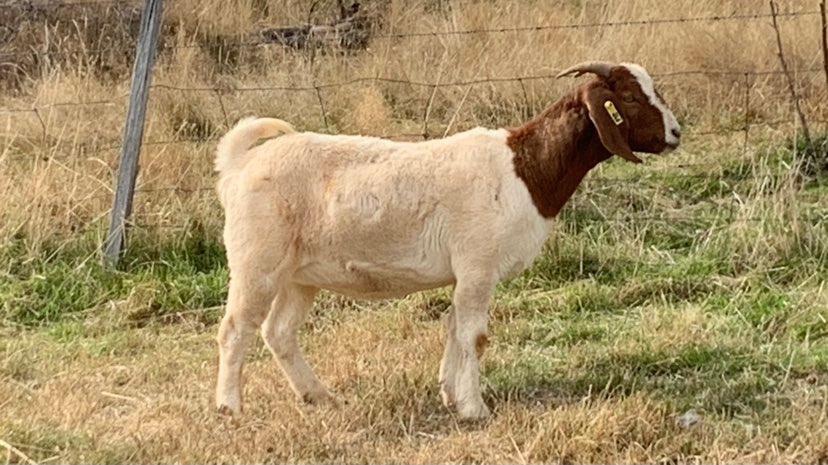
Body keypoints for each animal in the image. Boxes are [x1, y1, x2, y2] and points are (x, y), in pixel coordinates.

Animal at [214, 61, 681, 419]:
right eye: (631, 97)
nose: (676, 133)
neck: (523, 168)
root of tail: (240, 164)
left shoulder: (466, 273)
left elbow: (455, 329)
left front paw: (450, 395)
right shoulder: (477, 265)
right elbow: (475, 336)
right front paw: (476, 410)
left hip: (299, 275)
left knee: (279, 332)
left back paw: (320, 397)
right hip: (256, 262)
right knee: (236, 329)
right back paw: (229, 408)